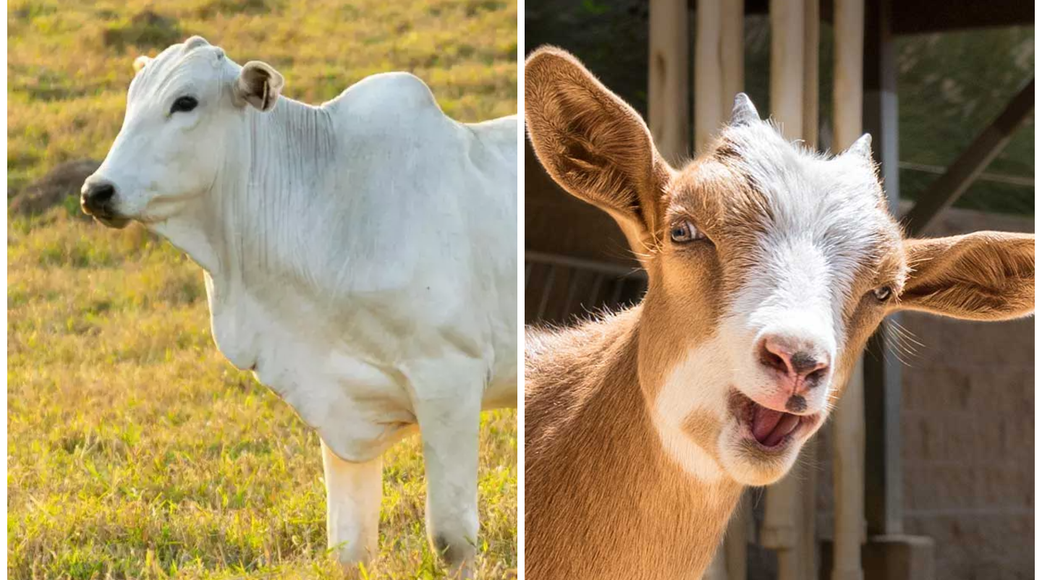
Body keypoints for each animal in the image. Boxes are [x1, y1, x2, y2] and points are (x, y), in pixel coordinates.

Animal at [81, 36, 517, 577]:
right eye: (131, 99)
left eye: (185, 102)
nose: (97, 191)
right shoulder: (339, 405)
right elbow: (349, 547)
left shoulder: (450, 379)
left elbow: (451, 537)